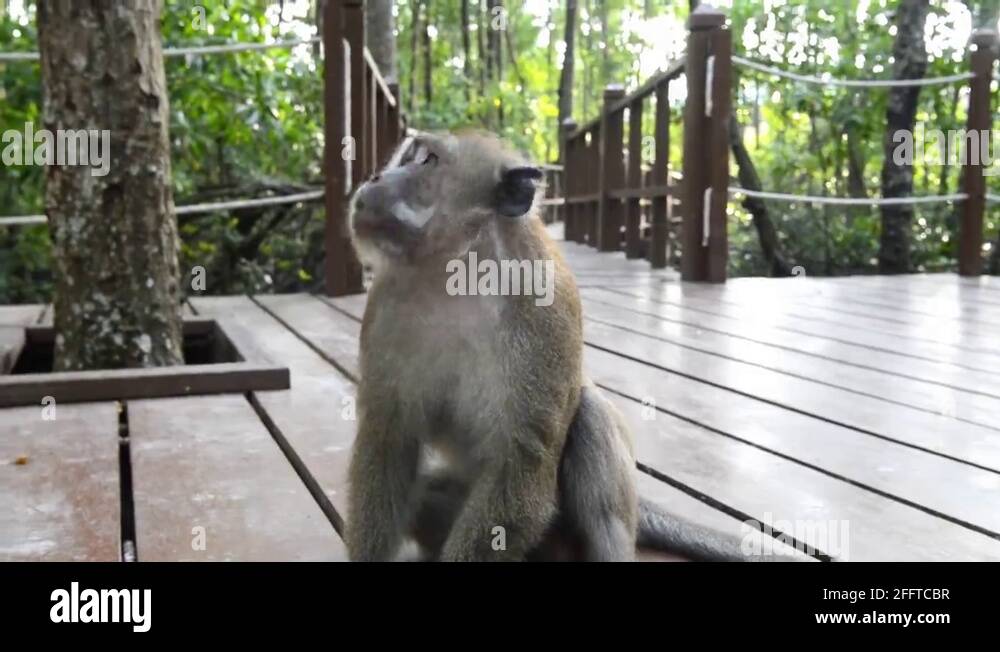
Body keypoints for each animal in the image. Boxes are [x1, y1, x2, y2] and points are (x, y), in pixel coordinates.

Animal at [344, 130, 775, 562]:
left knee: (591, 422)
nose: (376, 177)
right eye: (407, 155)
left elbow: (521, 469)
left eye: (428, 160)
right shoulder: (384, 308)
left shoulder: (541, 310)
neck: (453, 275)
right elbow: (388, 446)